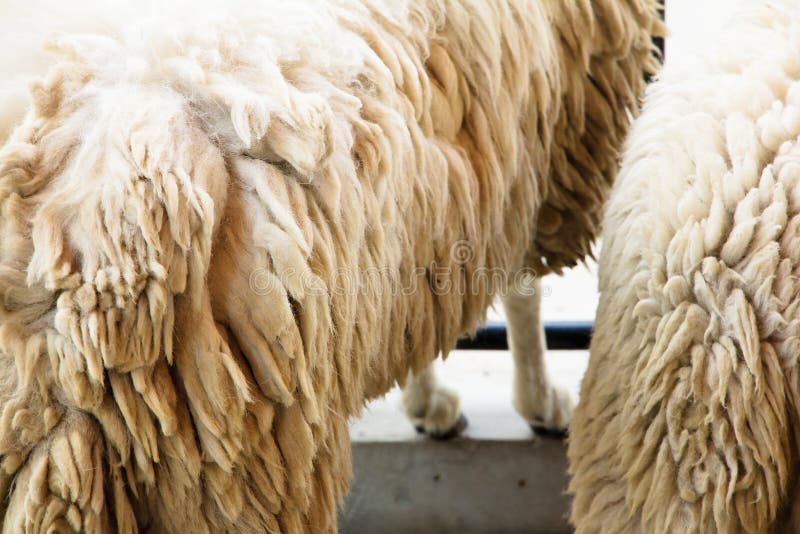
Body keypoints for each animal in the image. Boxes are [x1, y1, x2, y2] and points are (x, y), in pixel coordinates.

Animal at [0, 1, 659, 531]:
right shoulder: (537, 149)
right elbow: (525, 292)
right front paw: (539, 400)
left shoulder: (421, 199)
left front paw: (429, 405)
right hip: (232, 451)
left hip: (57, 453)